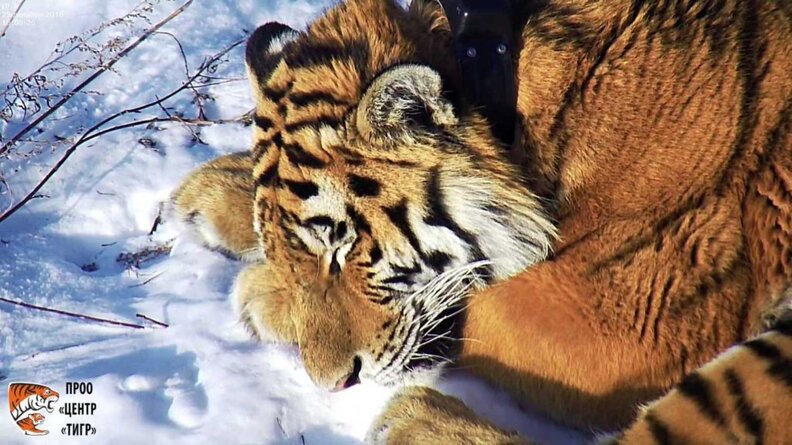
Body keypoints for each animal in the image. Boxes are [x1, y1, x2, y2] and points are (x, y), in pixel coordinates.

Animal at [168, 0, 792, 443]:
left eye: (342, 250)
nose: (333, 384)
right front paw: (217, 195)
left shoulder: (633, 323)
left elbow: (481, 303)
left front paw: (259, 296)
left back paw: (416, 420)